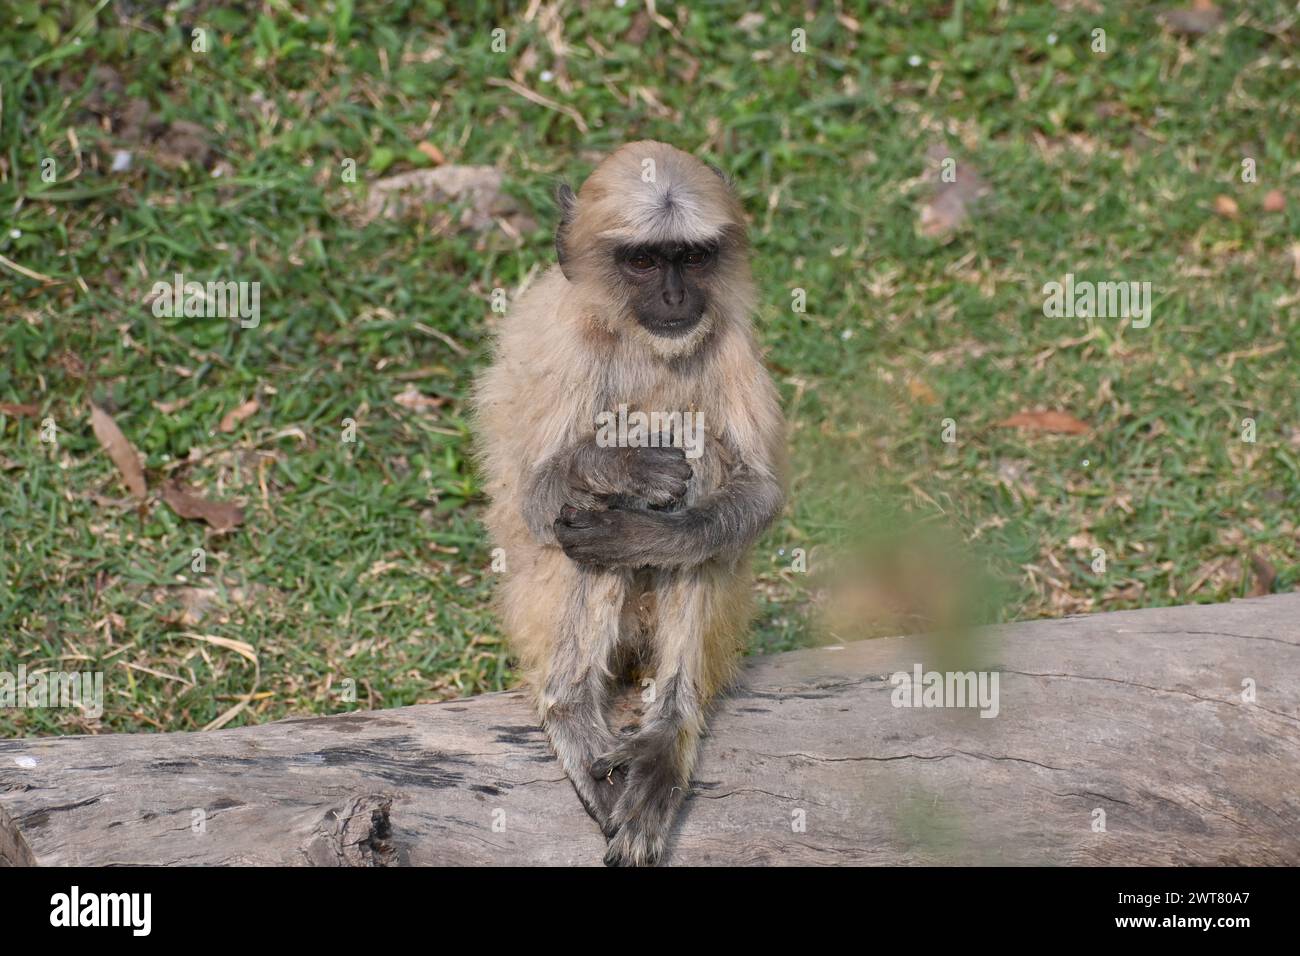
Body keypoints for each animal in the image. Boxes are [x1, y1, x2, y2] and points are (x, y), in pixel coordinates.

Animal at [473, 141, 786, 866]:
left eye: (691, 257)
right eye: (644, 260)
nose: (674, 295)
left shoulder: (729, 338)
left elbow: (757, 492)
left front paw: (643, 534)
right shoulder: (569, 348)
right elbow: (533, 498)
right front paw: (625, 468)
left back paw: (667, 734)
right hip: (530, 608)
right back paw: (570, 711)